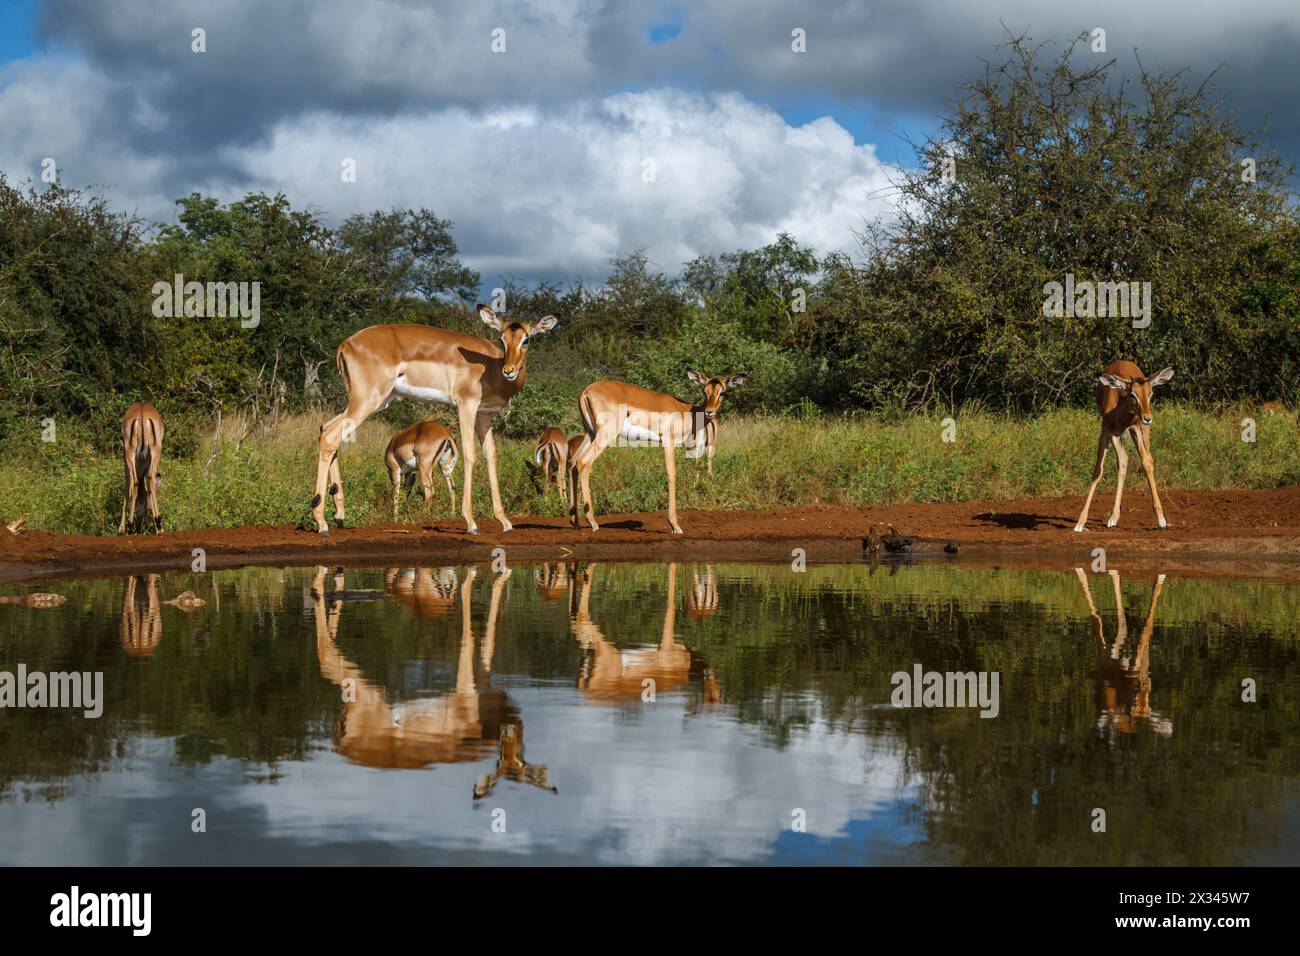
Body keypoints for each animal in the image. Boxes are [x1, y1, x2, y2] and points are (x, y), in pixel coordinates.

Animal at [118, 402, 164, 534]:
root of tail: (142, 411)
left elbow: (128, 487)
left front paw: (121, 528)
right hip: (154, 452)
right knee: (150, 480)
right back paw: (158, 524)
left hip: (131, 453)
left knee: (135, 483)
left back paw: (130, 525)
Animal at [311, 305, 558, 535]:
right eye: (501, 338)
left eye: (527, 339)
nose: (509, 370)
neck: (490, 367)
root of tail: (346, 344)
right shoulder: (466, 405)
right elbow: (470, 454)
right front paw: (471, 522)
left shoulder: (484, 414)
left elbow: (490, 456)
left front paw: (504, 521)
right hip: (367, 401)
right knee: (330, 437)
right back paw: (322, 523)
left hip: (373, 402)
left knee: (326, 429)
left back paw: (339, 515)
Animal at [569, 371, 743, 534]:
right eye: (704, 391)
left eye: (723, 392)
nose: (709, 412)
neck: (688, 412)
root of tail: (585, 391)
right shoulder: (668, 442)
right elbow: (672, 474)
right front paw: (675, 526)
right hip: (605, 435)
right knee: (583, 463)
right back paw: (592, 522)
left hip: (590, 434)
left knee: (572, 464)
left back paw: (575, 522)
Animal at [1074, 361, 1174, 533]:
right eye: (1132, 394)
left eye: (1150, 393)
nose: (1148, 418)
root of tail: (1124, 361)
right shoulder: (1107, 431)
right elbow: (1098, 471)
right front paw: (1080, 523)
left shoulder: (1134, 427)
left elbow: (1146, 462)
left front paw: (1161, 520)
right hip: (1120, 435)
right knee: (1123, 461)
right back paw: (1114, 517)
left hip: (1143, 430)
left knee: (1148, 459)